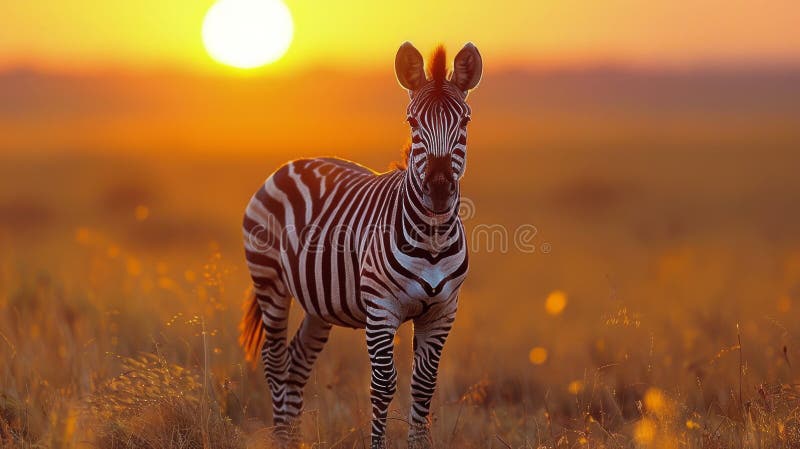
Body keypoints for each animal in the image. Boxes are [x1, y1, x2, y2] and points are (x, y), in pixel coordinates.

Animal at [239, 42, 482, 449]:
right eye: (412, 123)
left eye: (464, 122)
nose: (437, 190)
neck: (431, 237)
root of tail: (296, 162)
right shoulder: (381, 309)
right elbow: (383, 386)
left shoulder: (442, 311)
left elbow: (423, 387)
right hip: (269, 281)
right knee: (275, 363)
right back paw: (280, 437)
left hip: (319, 304)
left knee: (297, 362)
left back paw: (292, 439)